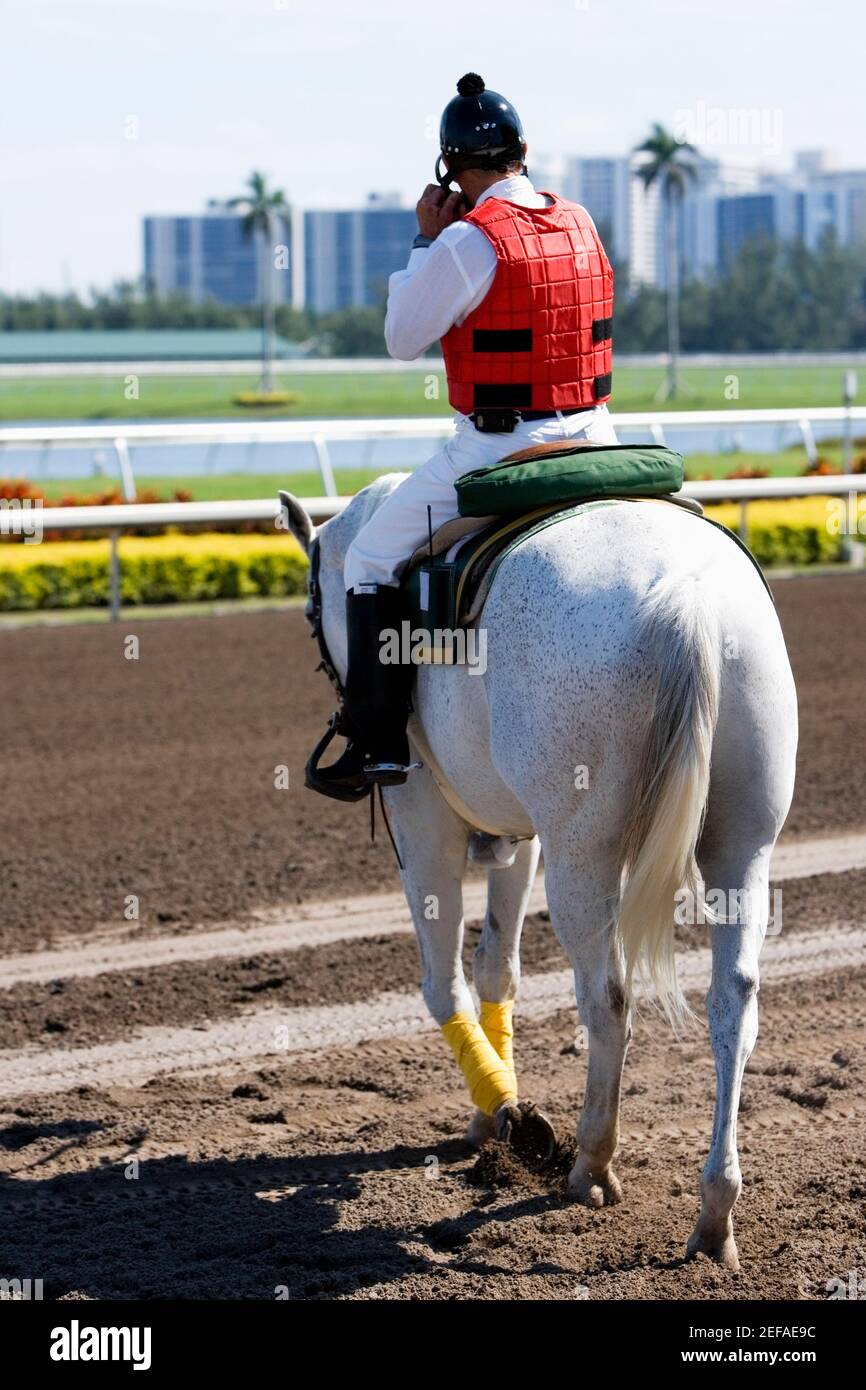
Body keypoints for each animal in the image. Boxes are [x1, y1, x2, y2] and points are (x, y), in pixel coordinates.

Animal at [282, 473, 798, 1272]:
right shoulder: (518, 836)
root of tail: (686, 593)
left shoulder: (421, 815)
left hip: (582, 854)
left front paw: (507, 1114)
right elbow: (498, 967)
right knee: (733, 1002)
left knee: (608, 996)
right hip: (742, 847)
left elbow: (443, 981)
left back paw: (591, 1165)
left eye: (312, 612)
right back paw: (715, 1211)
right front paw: (491, 1109)